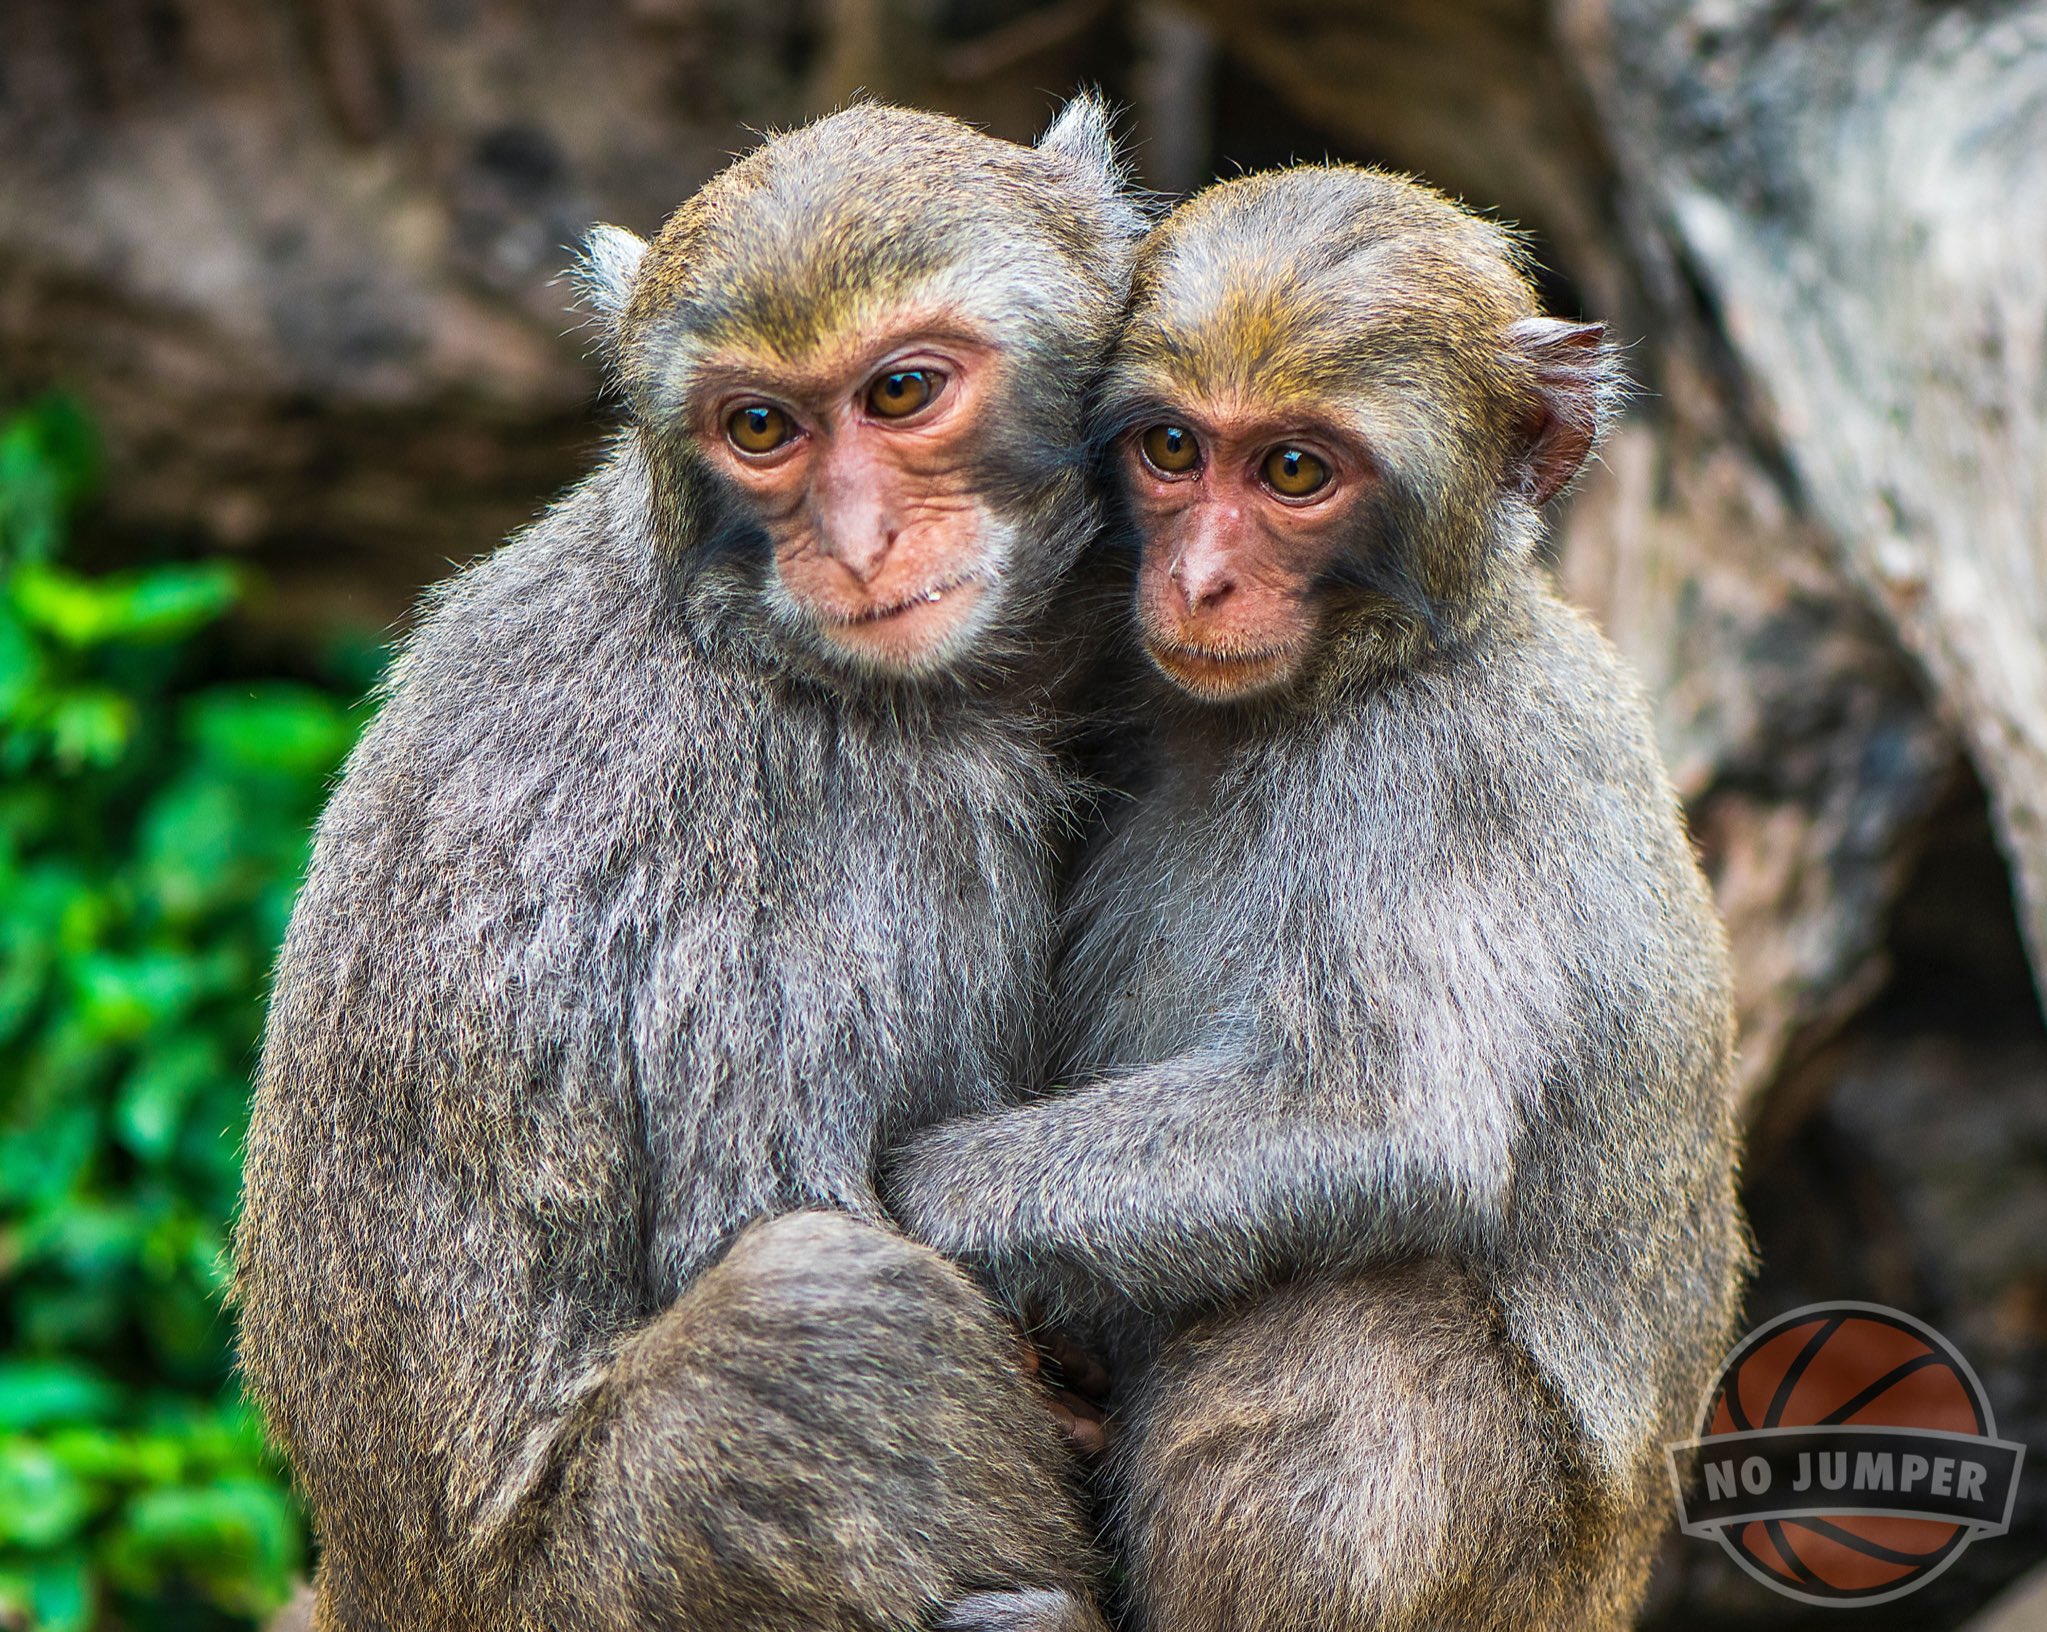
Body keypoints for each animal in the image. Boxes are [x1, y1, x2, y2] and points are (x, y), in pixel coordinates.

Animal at [232, 100, 1146, 1632]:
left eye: (902, 394)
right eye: (761, 426)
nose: (856, 543)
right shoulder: (812, 844)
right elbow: (788, 1206)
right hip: (602, 1582)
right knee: (827, 1311)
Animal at [886, 165, 1750, 1631]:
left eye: (1293, 471)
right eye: (1172, 450)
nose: (1197, 581)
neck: (1359, 672)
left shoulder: (1431, 776)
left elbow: (1381, 1117)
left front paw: (918, 1208)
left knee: (1352, 1304)